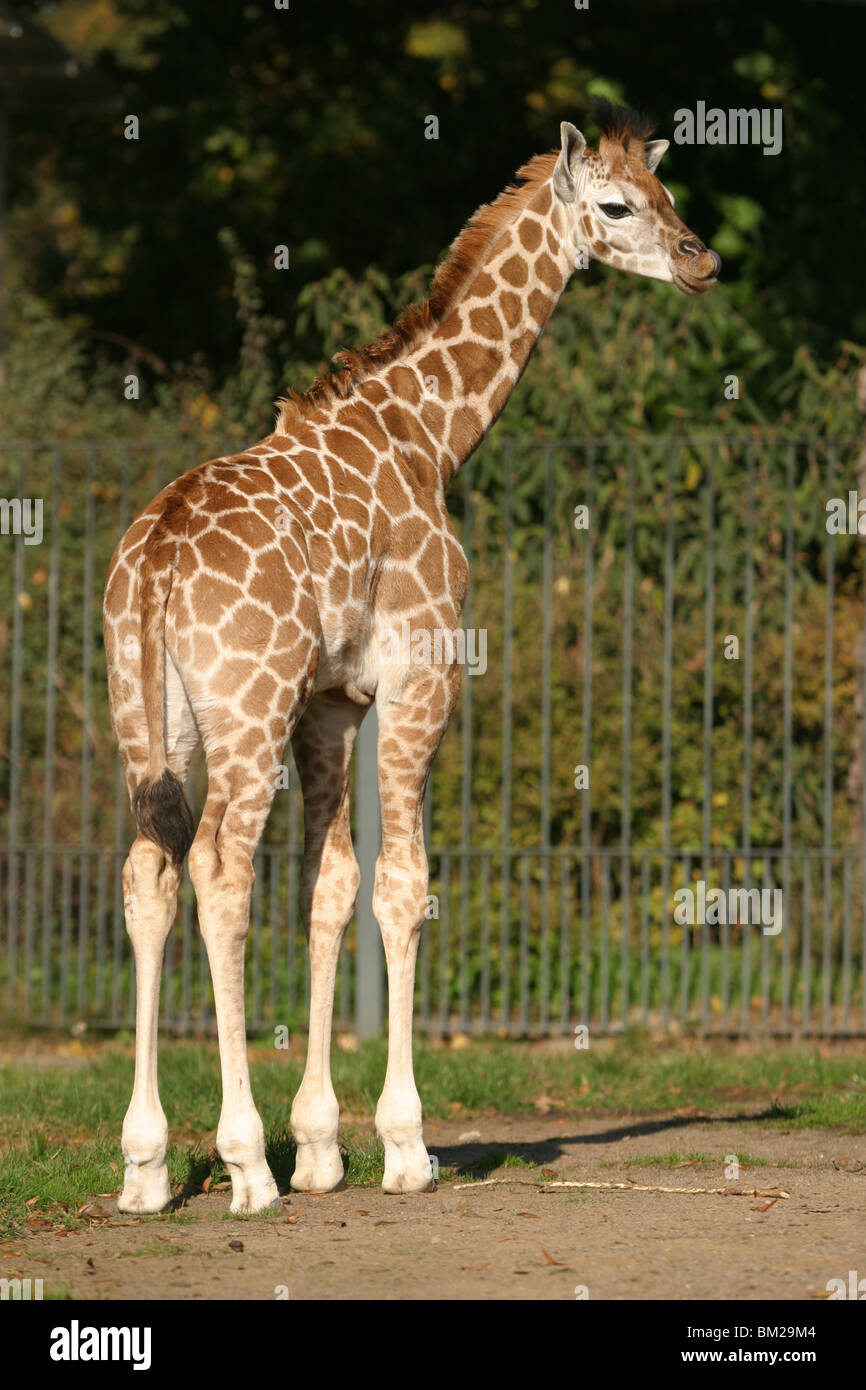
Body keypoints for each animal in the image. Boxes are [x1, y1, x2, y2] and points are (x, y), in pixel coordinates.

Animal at [103, 103, 719, 1214]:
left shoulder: (331, 703)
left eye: (665, 192)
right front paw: (401, 1145)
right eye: (615, 206)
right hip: (246, 711)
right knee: (219, 867)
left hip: (150, 716)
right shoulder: (420, 671)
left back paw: (146, 1163)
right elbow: (402, 882)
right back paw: (240, 1162)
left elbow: (331, 885)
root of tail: (159, 555)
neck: (434, 433)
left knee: (150, 871)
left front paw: (320, 1148)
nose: (703, 260)